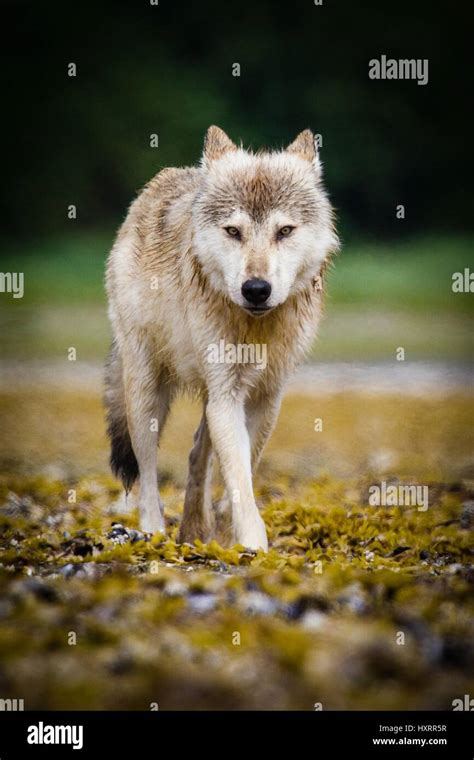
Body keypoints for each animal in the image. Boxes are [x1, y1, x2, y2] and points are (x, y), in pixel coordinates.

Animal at [105, 126, 338, 551]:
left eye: (284, 231)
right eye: (234, 231)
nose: (256, 289)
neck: (256, 328)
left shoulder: (265, 397)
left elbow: (245, 469)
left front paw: (232, 535)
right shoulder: (227, 395)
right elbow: (239, 476)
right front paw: (253, 545)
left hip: (207, 399)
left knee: (197, 452)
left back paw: (195, 531)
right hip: (146, 396)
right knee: (147, 474)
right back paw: (154, 532)